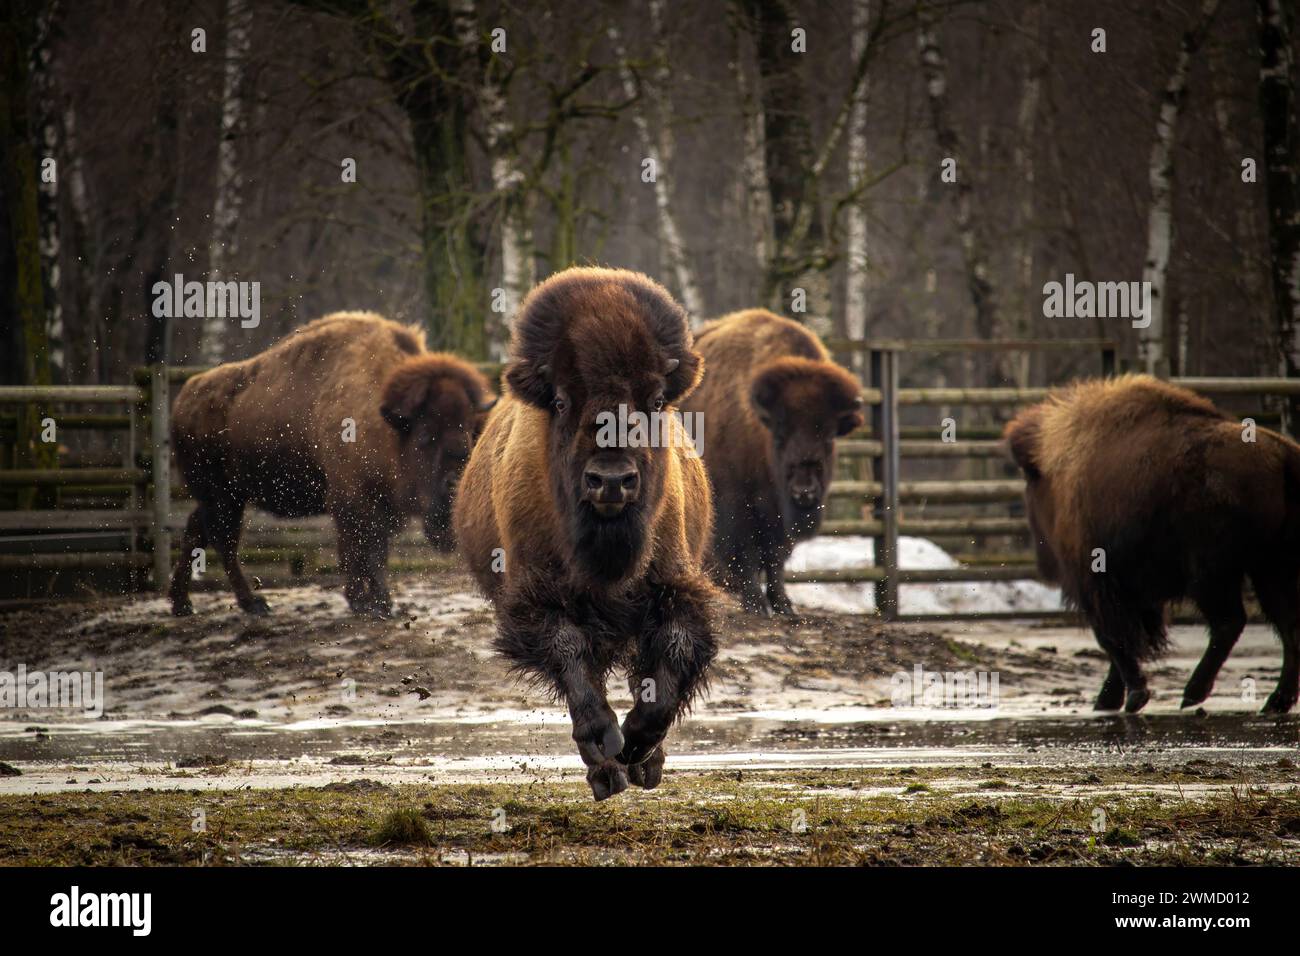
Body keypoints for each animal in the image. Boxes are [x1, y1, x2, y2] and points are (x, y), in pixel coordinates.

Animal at [169, 311, 493, 618]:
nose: (455, 483)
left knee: (196, 532)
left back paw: (183, 604)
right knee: (222, 542)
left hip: (222, 497)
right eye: (425, 434)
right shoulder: (354, 502)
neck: (384, 420)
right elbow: (364, 552)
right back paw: (254, 604)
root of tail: (184, 397)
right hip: (223, 498)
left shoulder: (377, 505)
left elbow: (371, 552)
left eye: (468, 430)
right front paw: (373, 604)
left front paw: (373, 602)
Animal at [453, 267, 716, 800]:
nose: (611, 480)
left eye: (657, 399)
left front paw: (637, 746)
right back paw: (607, 775)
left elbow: (669, 663)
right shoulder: (537, 602)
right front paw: (607, 746)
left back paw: (643, 767)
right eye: (559, 400)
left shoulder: (676, 587)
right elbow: (571, 659)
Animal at [1004, 374, 1300, 713]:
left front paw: (1131, 696)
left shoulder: (1098, 583)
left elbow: (1113, 640)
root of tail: (1283, 456)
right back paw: (1276, 701)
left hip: (1213, 575)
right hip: (1269, 568)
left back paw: (1193, 693)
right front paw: (1110, 699)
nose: (1044, 561)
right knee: (1287, 624)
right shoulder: (1134, 590)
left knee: (1230, 622)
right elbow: (1131, 640)